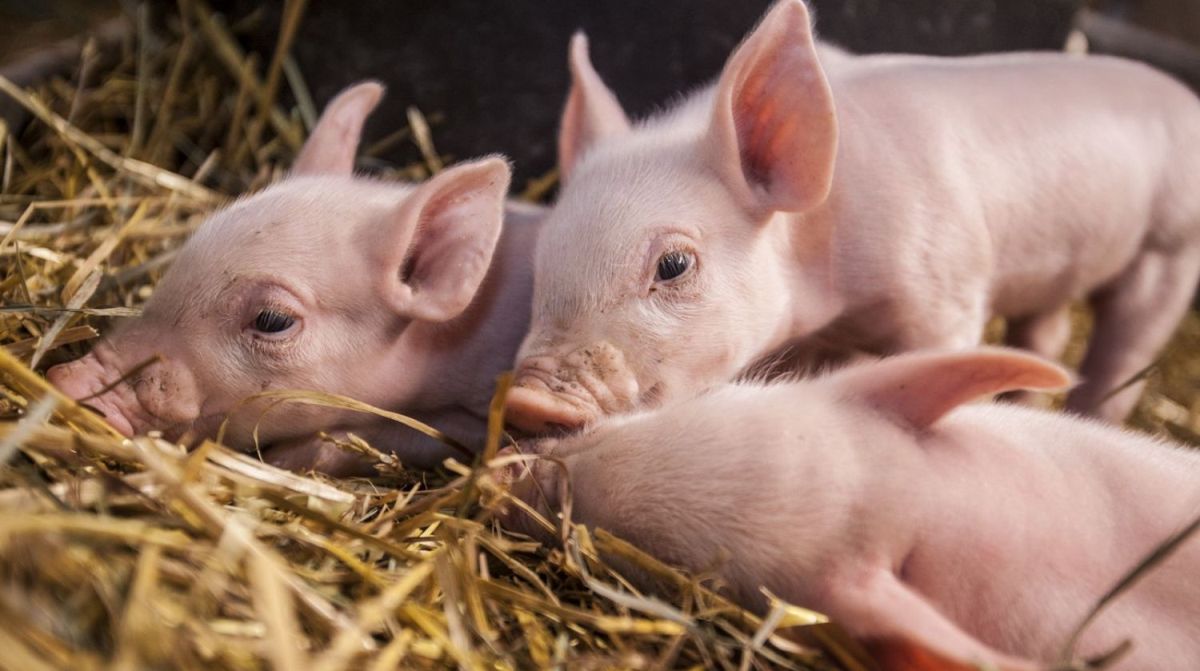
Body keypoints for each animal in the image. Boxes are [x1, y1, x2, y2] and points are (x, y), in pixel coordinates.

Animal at [505, 0, 1200, 433]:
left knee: (1117, 362)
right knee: (1049, 336)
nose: (527, 397)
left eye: (673, 265)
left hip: (1168, 254)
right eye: (543, 263)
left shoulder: (947, 296)